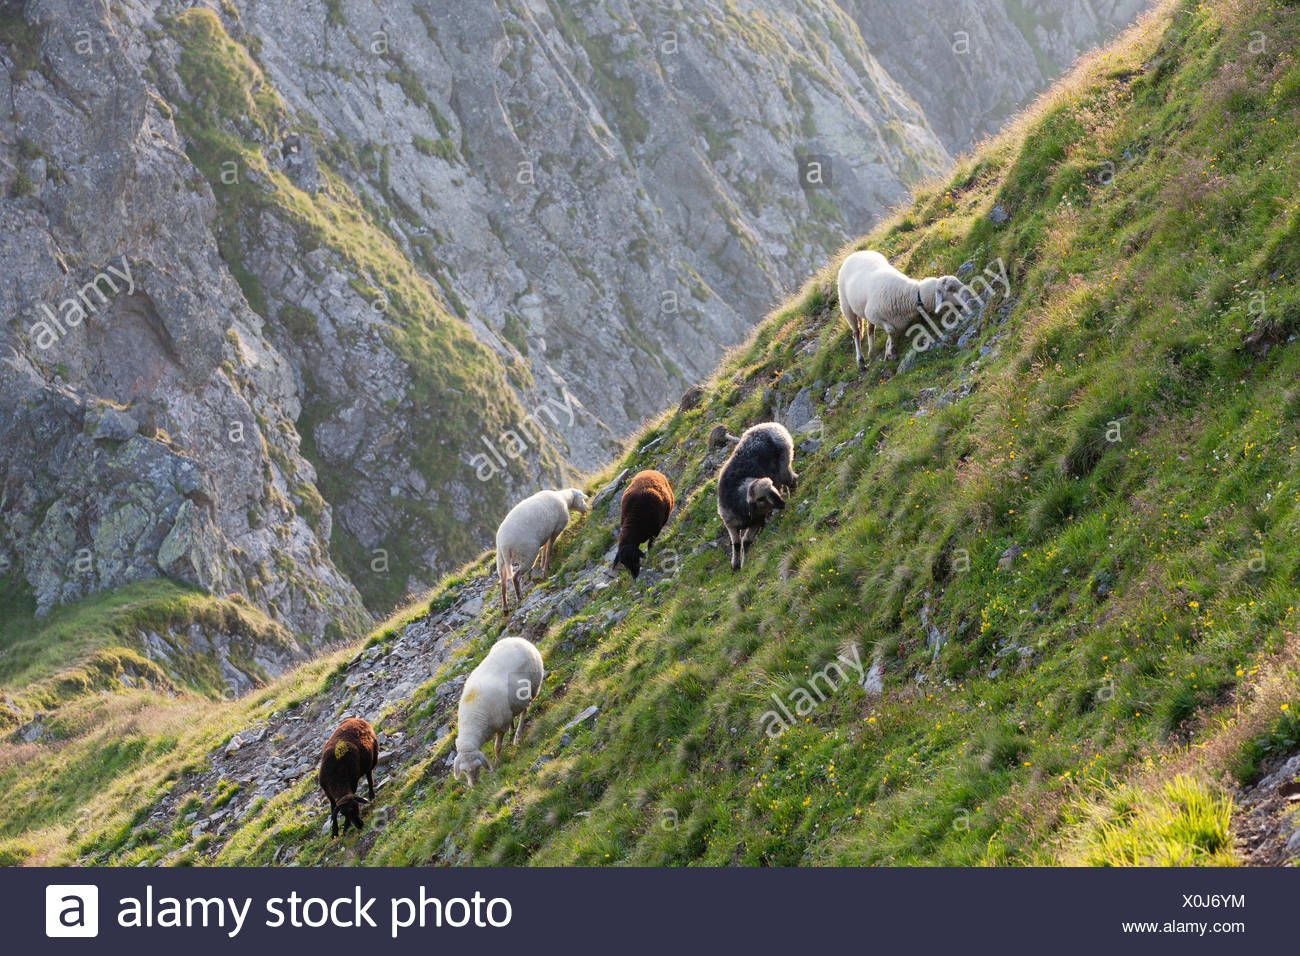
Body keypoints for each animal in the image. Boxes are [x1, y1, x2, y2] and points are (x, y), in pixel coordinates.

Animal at [452, 636, 544, 787]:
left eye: (478, 767)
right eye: (464, 771)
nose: (475, 784)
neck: (473, 720)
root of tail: (520, 639)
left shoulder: (500, 726)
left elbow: (497, 747)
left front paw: (496, 764)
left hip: (532, 688)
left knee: (524, 711)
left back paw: (517, 735)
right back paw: (513, 729)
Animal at [716, 422, 798, 571]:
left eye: (770, 491)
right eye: (760, 498)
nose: (782, 503)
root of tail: (772, 425)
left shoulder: (757, 520)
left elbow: (746, 541)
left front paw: (744, 563)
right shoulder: (730, 524)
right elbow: (736, 544)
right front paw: (735, 564)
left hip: (784, 466)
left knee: (793, 480)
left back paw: (793, 495)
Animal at [837, 250, 975, 369]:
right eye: (951, 288)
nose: (970, 296)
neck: (911, 295)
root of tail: (856, 253)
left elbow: (889, 333)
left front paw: (888, 349)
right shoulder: (873, 314)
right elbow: (891, 330)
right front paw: (890, 352)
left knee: (870, 329)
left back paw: (870, 352)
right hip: (846, 306)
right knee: (856, 333)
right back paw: (860, 361)